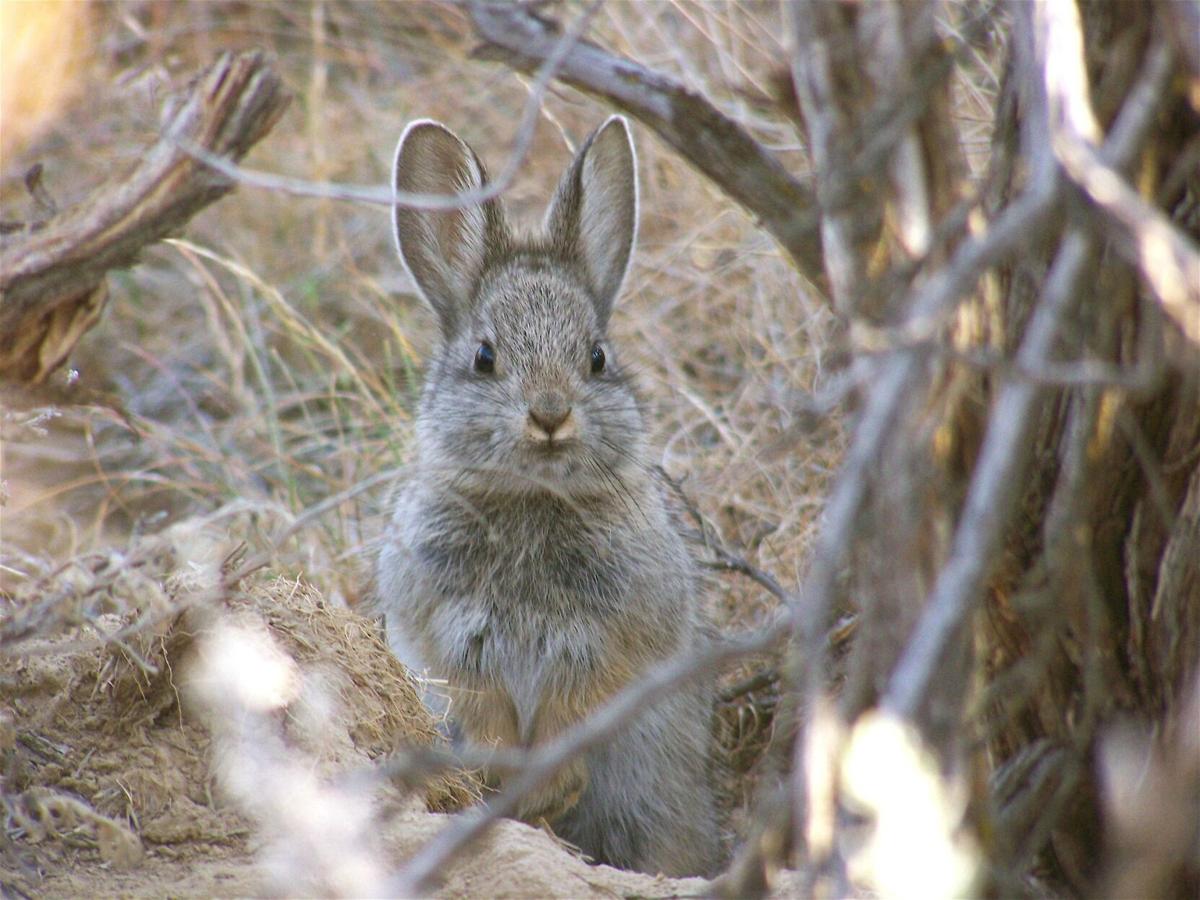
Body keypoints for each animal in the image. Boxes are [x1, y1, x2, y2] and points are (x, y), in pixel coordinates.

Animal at [374, 115, 724, 878]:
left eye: (597, 357)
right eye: (484, 357)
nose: (551, 414)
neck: (532, 498)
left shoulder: (610, 640)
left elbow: (580, 710)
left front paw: (548, 787)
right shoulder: (448, 637)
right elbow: (480, 710)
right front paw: (508, 785)